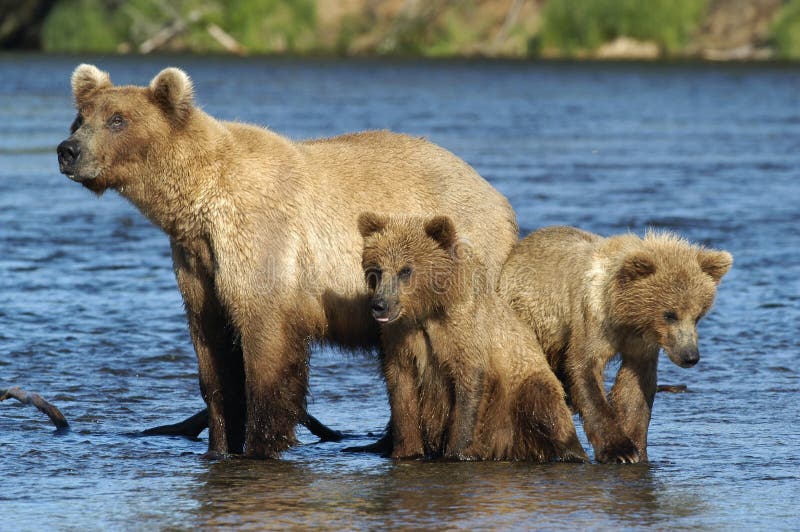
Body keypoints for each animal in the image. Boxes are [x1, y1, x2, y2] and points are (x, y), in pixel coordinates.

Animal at [56, 65, 518, 458]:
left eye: (118, 119)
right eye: (80, 119)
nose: (67, 151)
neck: (200, 201)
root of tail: (495, 194)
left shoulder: (263, 244)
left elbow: (267, 351)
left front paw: (261, 443)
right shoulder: (197, 264)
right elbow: (213, 354)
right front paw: (220, 443)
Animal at [357, 213, 588, 462]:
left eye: (405, 270)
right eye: (377, 269)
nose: (380, 305)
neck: (427, 310)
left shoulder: (463, 331)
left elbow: (468, 381)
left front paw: (457, 452)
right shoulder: (401, 340)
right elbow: (401, 388)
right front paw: (406, 451)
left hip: (524, 387)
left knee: (544, 405)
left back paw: (570, 452)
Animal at [498, 226, 733, 463]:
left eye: (698, 315)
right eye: (670, 314)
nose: (690, 356)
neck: (627, 316)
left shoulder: (641, 345)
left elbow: (635, 387)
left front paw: (637, 446)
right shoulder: (593, 320)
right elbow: (584, 369)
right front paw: (620, 450)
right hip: (533, 319)